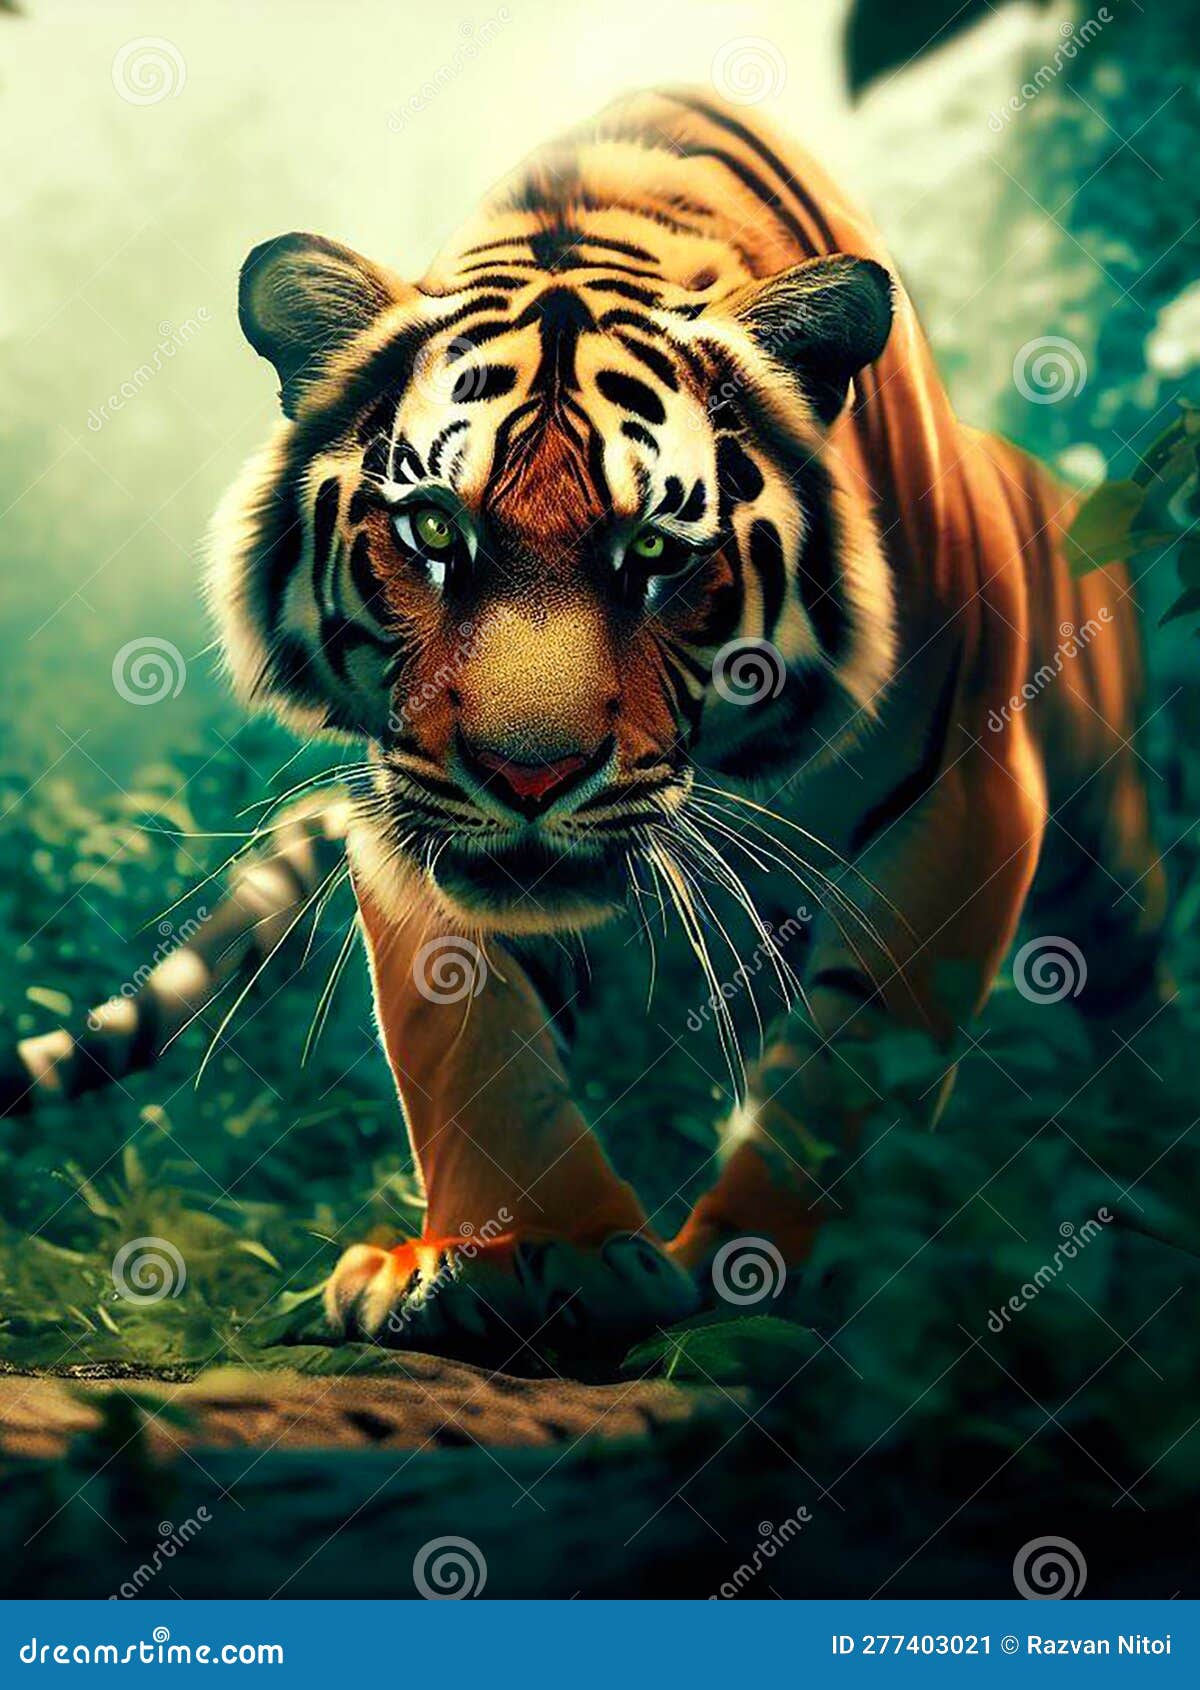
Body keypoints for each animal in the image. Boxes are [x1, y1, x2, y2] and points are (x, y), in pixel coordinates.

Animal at [9, 88, 1166, 1361]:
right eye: (432, 529)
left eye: (654, 550)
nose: (529, 775)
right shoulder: (406, 807)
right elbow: (468, 1038)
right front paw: (528, 1260)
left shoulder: (960, 794)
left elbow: (851, 1059)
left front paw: (771, 1279)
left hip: (1108, 855)